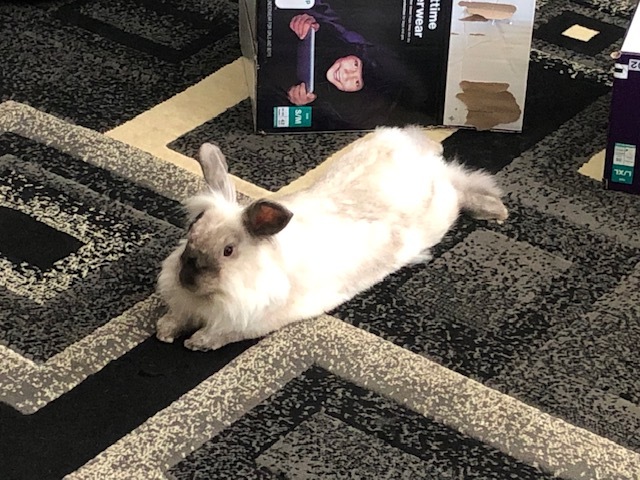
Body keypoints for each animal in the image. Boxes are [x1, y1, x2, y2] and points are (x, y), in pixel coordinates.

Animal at [156, 126, 508, 351]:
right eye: (193, 230)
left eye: (228, 251)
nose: (187, 277)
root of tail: (428, 159)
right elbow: (176, 317)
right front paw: (164, 332)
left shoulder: (242, 322)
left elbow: (219, 333)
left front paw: (196, 342)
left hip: (442, 209)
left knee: (462, 192)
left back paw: (497, 210)